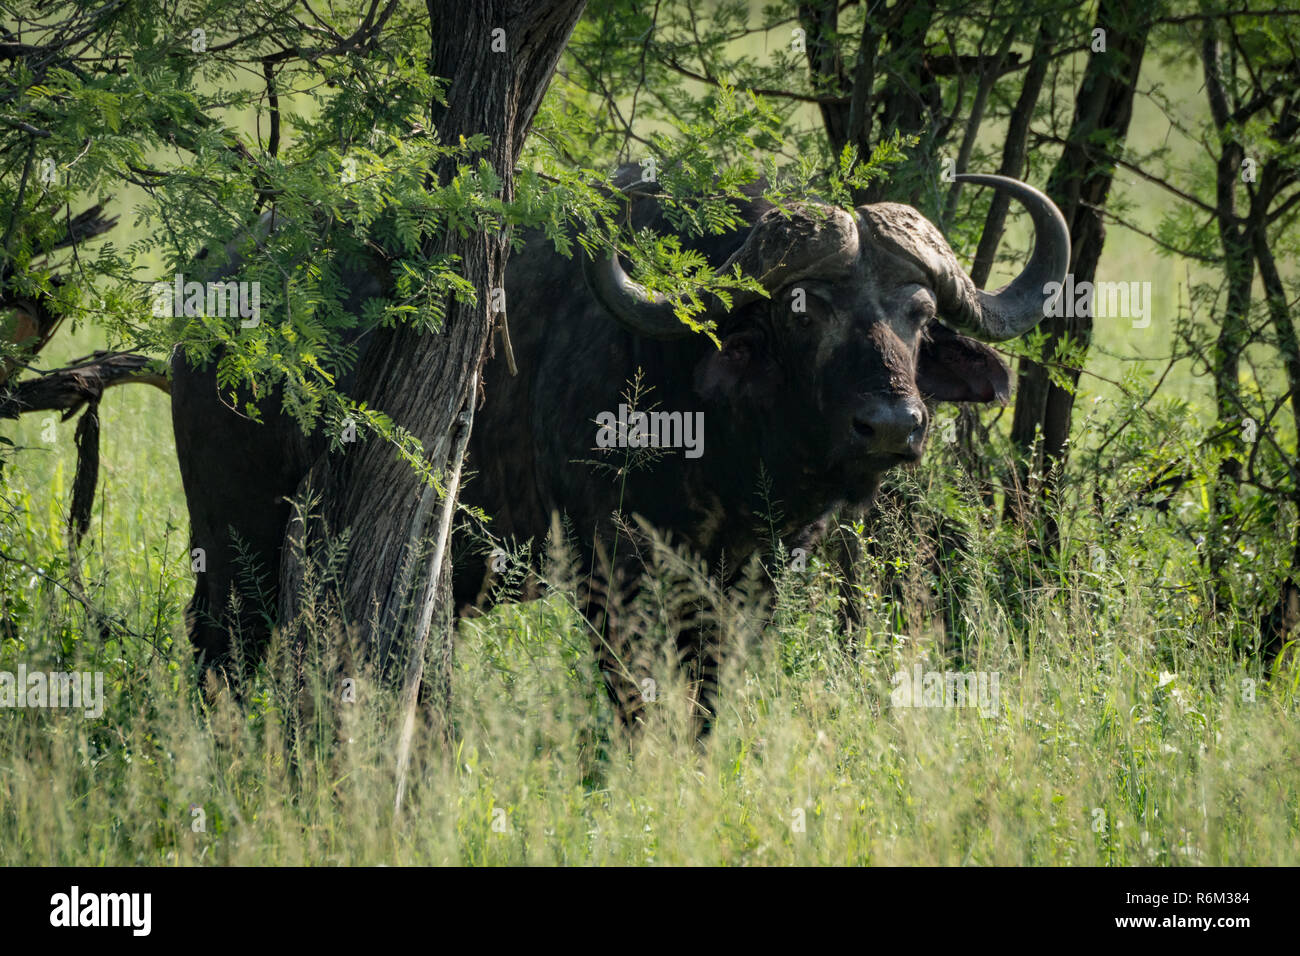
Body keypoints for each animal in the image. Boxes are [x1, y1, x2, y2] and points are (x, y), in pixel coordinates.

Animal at [171, 167, 1069, 731]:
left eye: (919, 314)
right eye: (804, 313)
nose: (890, 425)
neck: (722, 442)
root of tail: (217, 280)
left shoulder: (756, 579)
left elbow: (710, 692)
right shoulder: (608, 566)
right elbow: (631, 692)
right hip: (235, 532)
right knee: (223, 648)